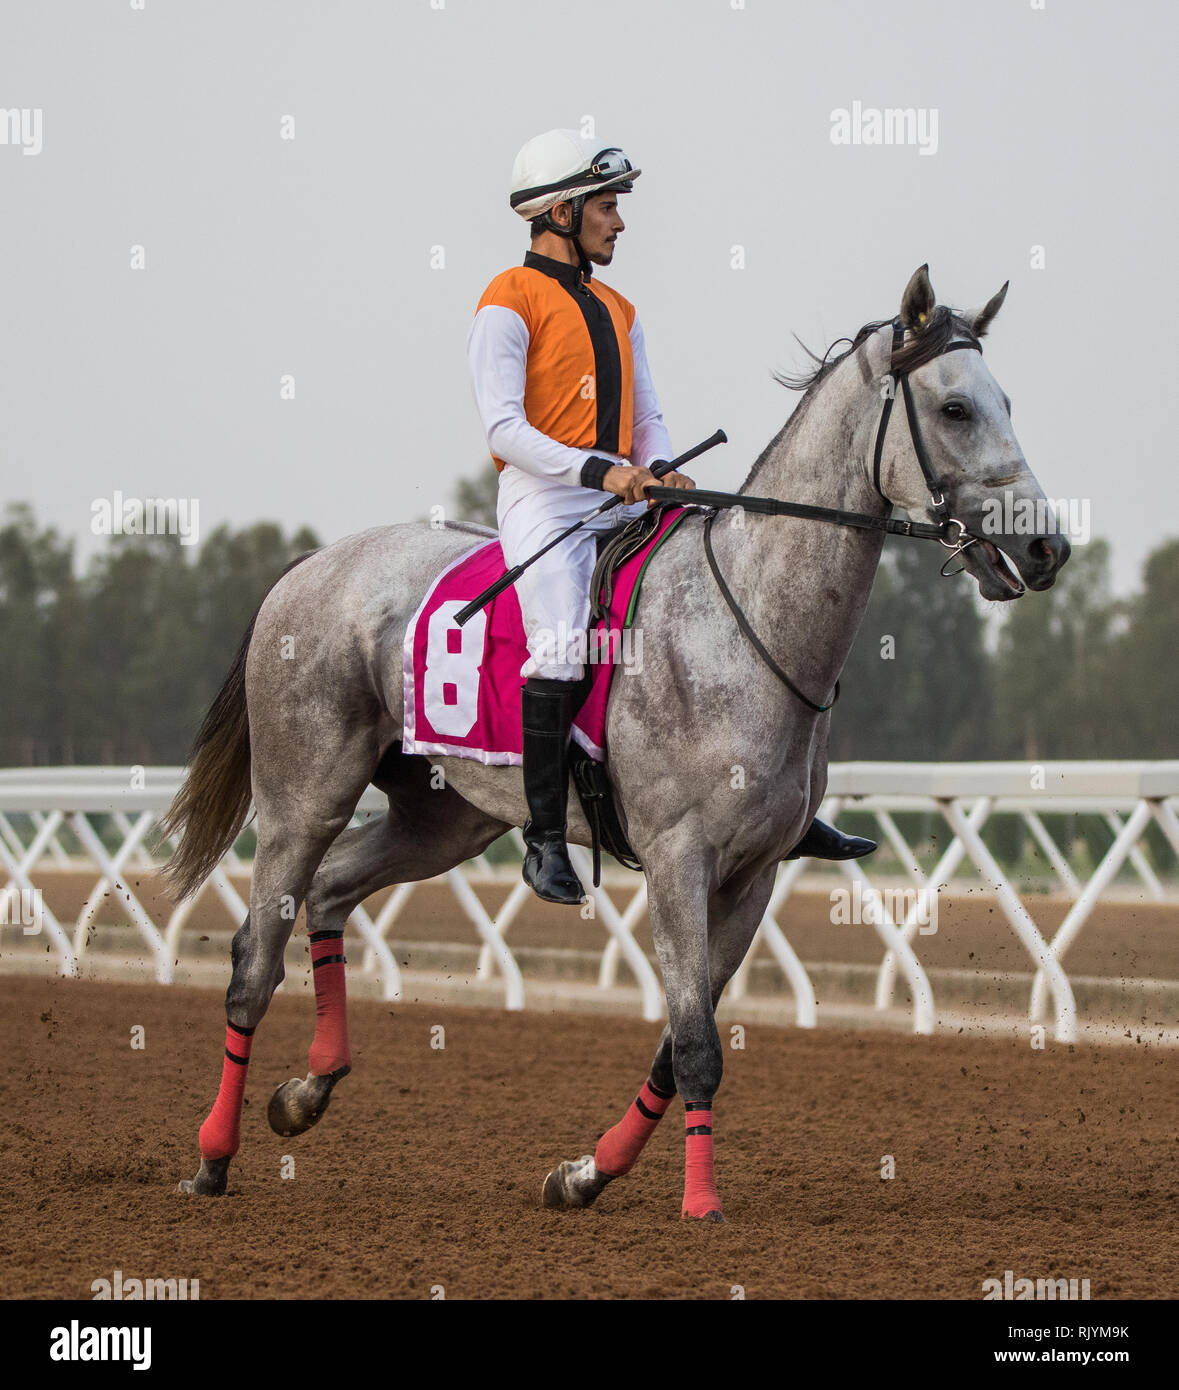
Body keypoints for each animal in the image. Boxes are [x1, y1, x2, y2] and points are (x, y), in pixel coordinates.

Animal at [163, 265, 1069, 1218]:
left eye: (1005, 400)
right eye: (955, 408)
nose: (1046, 545)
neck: (745, 625)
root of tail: (307, 566)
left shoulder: (750, 877)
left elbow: (677, 1046)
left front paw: (585, 1172)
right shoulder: (678, 859)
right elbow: (698, 1044)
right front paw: (699, 1203)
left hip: (443, 818)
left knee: (334, 891)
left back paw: (307, 1090)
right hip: (304, 794)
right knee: (254, 957)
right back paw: (212, 1155)